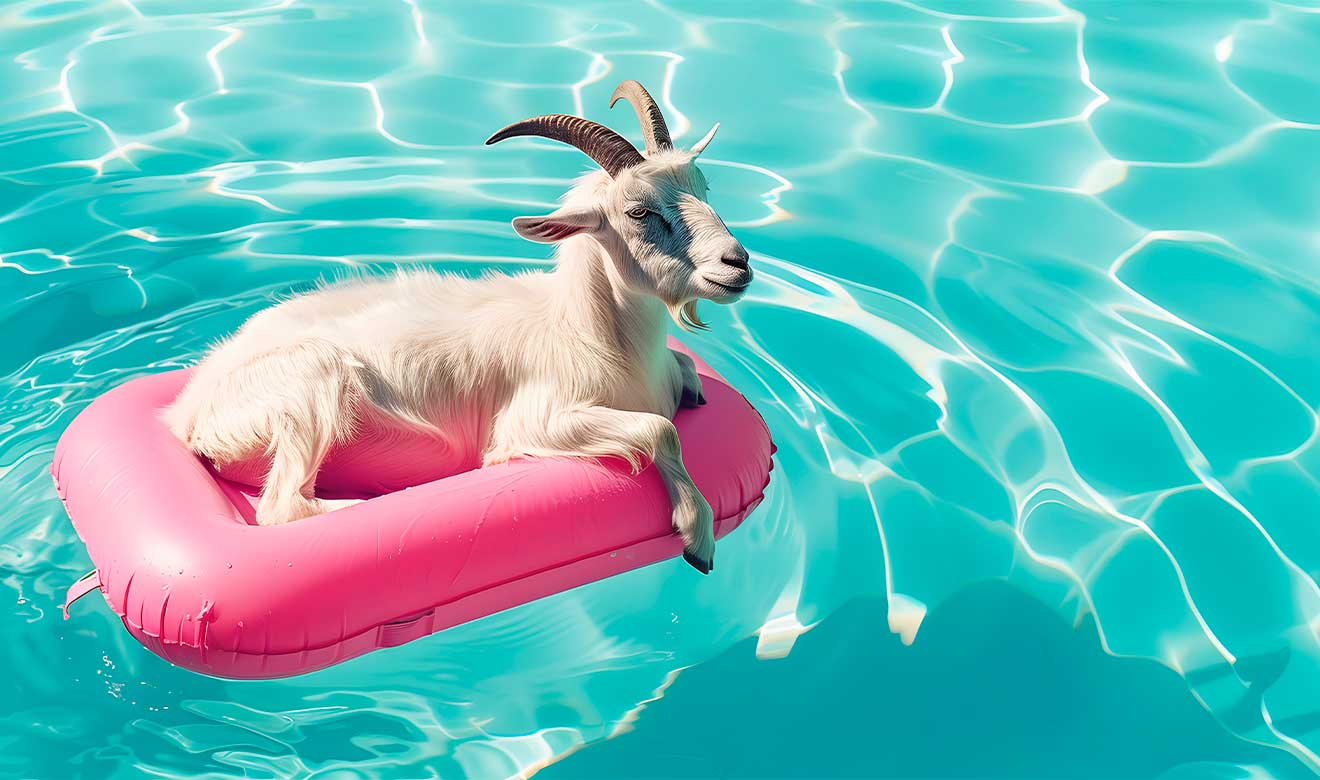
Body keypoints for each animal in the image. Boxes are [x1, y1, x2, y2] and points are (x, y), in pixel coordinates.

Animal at [164, 80, 752, 574]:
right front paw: (697, 536)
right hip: (311, 384)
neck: (586, 331)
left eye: (704, 187)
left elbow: (684, 383)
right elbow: (659, 429)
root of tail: (187, 415)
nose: (737, 263)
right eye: (637, 211)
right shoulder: (535, 420)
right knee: (281, 507)